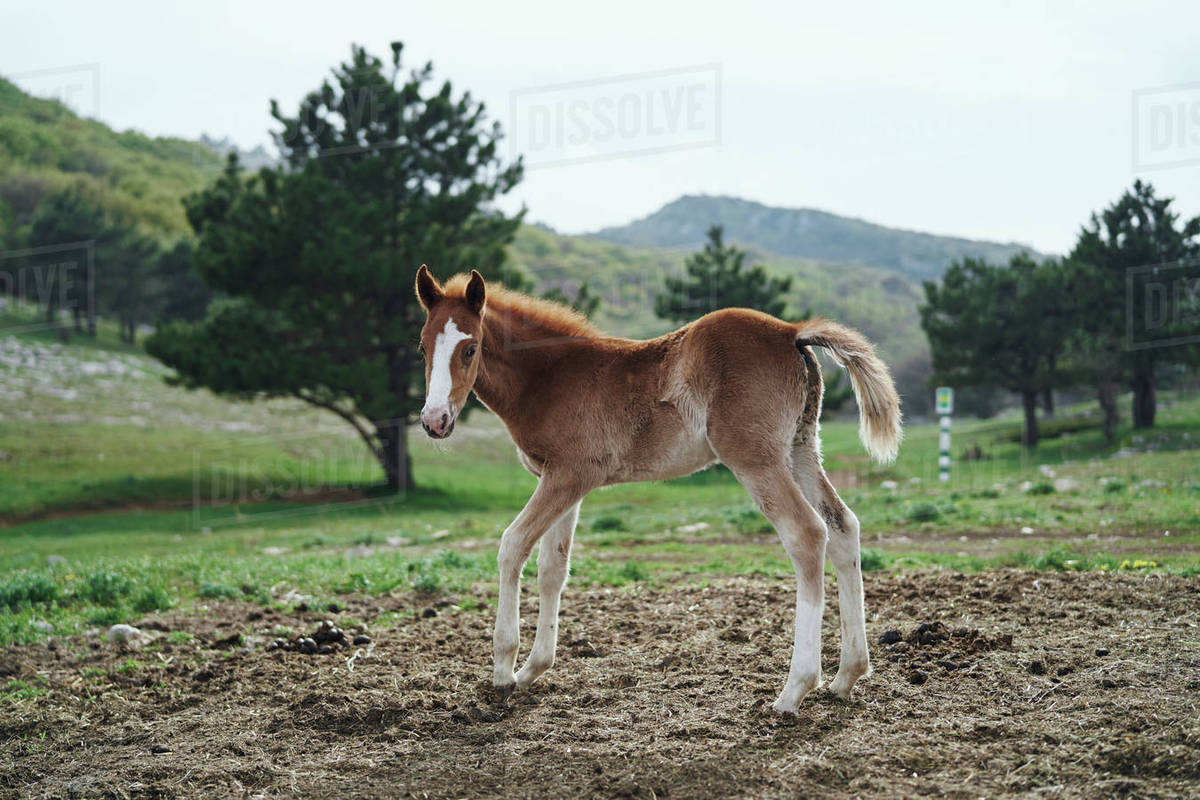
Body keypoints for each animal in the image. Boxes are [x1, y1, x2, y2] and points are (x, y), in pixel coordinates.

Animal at [414, 265, 901, 713]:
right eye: (422, 346)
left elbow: (512, 546)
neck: (550, 377)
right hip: (800, 448)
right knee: (843, 527)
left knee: (807, 534)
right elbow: (553, 567)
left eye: (470, 348)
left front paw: (503, 672)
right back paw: (846, 676)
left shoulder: (569, 475)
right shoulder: (562, 481)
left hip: (755, 458)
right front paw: (534, 669)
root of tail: (790, 332)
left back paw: (793, 691)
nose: (434, 421)